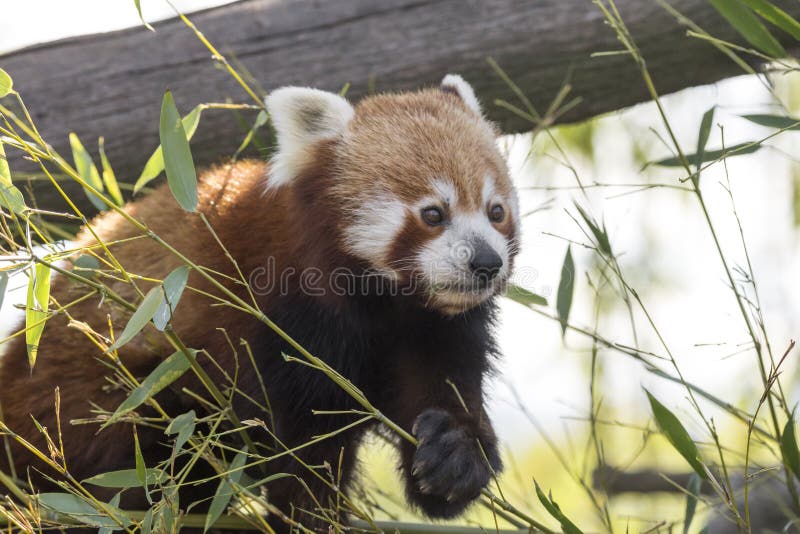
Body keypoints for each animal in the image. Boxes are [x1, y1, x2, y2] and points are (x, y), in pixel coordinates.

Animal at [0, 74, 520, 531]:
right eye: (433, 214)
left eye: (496, 212)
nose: (487, 262)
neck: (386, 305)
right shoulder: (283, 320)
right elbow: (304, 442)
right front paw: (311, 515)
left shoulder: (436, 329)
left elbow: (443, 392)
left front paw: (456, 455)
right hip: (106, 392)